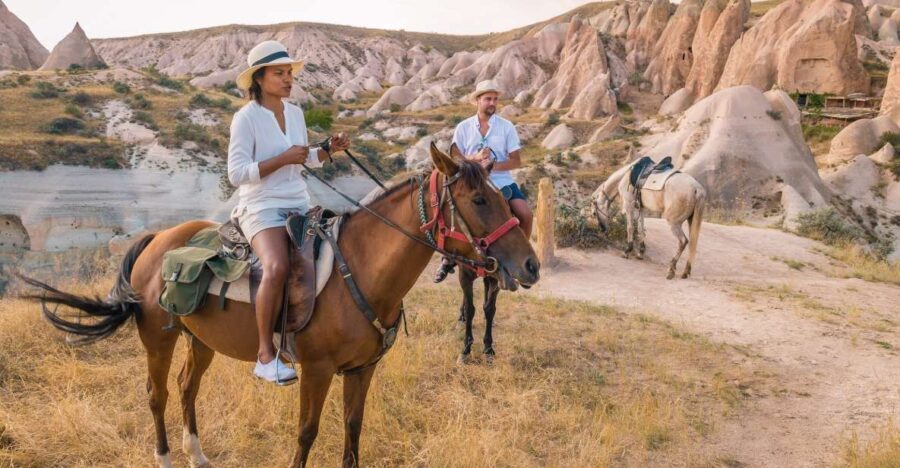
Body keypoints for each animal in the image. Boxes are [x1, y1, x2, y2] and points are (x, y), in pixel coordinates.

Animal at [19, 143, 540, 468]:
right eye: (478, 199)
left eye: (500, 194)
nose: (531, 265)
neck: (360, 271)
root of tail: (157, 239)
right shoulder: (317, 369)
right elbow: (307, 432)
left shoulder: (361, 370)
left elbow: (353, 429)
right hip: (158, 339)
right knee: (157, 395)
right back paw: (165, 455)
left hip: (200, 340)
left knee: (187, 389)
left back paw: (197, 453)